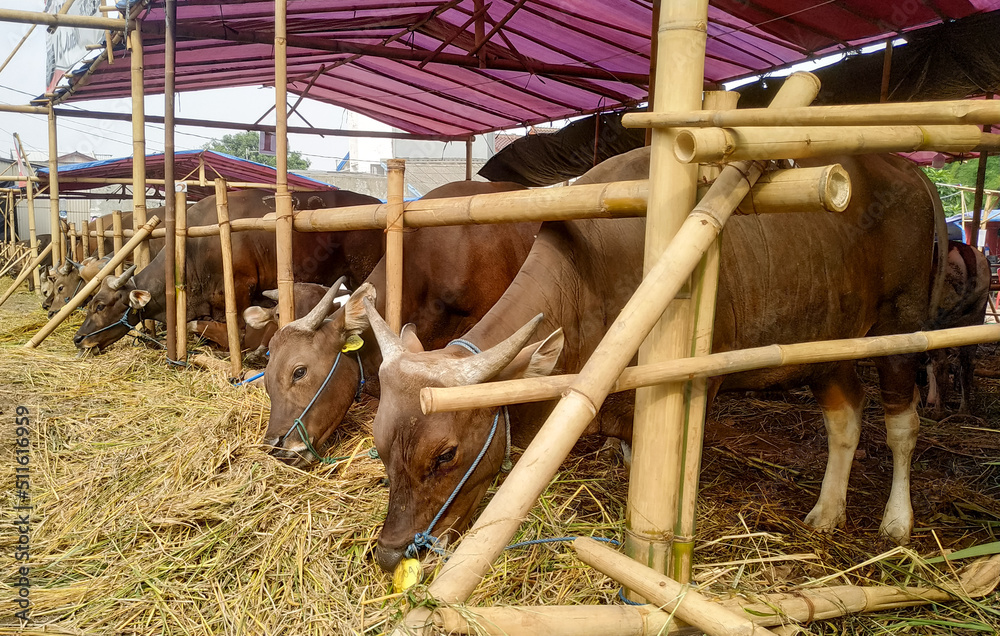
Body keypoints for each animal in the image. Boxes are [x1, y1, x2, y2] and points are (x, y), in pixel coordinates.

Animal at [363, 147, 947, 572]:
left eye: (445, 455)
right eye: (380, 445)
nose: (391, 553)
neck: (589, 277)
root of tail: (912, 174)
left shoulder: (693, 389)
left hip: (901, 326)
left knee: (903, 424)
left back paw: (896, 522)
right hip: (830, 347)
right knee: (845, 418)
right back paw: (827, 512)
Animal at [925, 241, 991, 418]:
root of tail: (963, 248)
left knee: (941, 364)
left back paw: (938, 412)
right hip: (976, 316)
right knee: (967, 364)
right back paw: (964, 411)